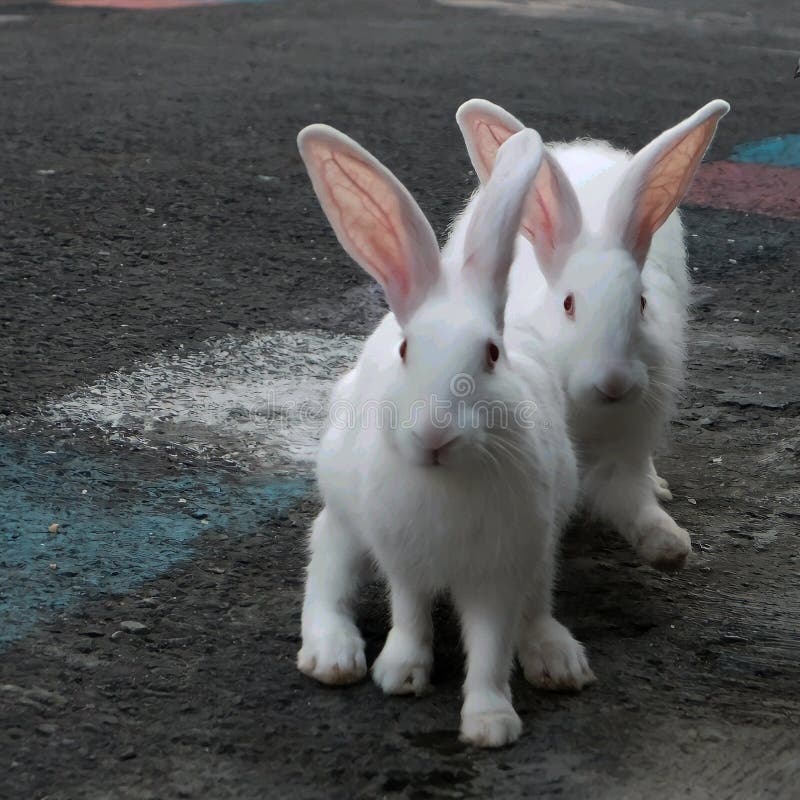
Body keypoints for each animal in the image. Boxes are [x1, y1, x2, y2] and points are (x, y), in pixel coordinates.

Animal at [295, 123, 593, 749]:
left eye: (492, 354)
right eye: (407, 352)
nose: (434, 435)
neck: (446, 481)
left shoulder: (501, 570)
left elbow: (492, 646)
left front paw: (491, 723)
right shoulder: (403, 559)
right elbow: (410, 614)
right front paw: (400, 673)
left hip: (543, 544)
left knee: (537, 605)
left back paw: (556, 658)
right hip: (345, 512)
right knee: (327, 562)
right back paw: (333, 655)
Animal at [448, 99, 730, 571]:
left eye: (641, 303)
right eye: (568, 305)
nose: (614, 382)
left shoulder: (626, 444)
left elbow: (630, 499)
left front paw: (670, 546)